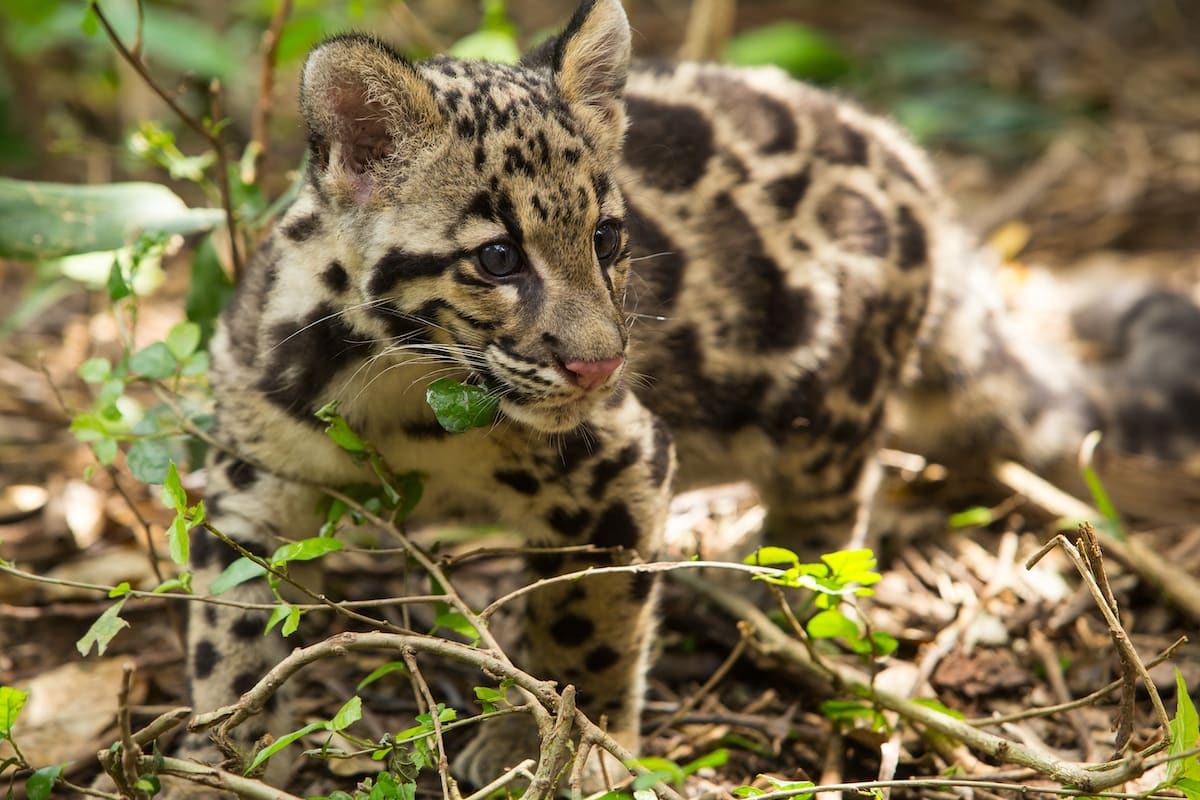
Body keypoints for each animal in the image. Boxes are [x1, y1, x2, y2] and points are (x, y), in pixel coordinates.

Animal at [183, 0, 1200, 794]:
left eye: (607, 238)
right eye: (498, 257)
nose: (599, 367)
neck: (399, 385)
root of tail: (917, 177)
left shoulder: (620, 462)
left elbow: (587, 619)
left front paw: (575, 747)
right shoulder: (252, 479)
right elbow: (227, 632)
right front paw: (217, 756)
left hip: (826, 405)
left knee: (830, 516)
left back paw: (788, 604)